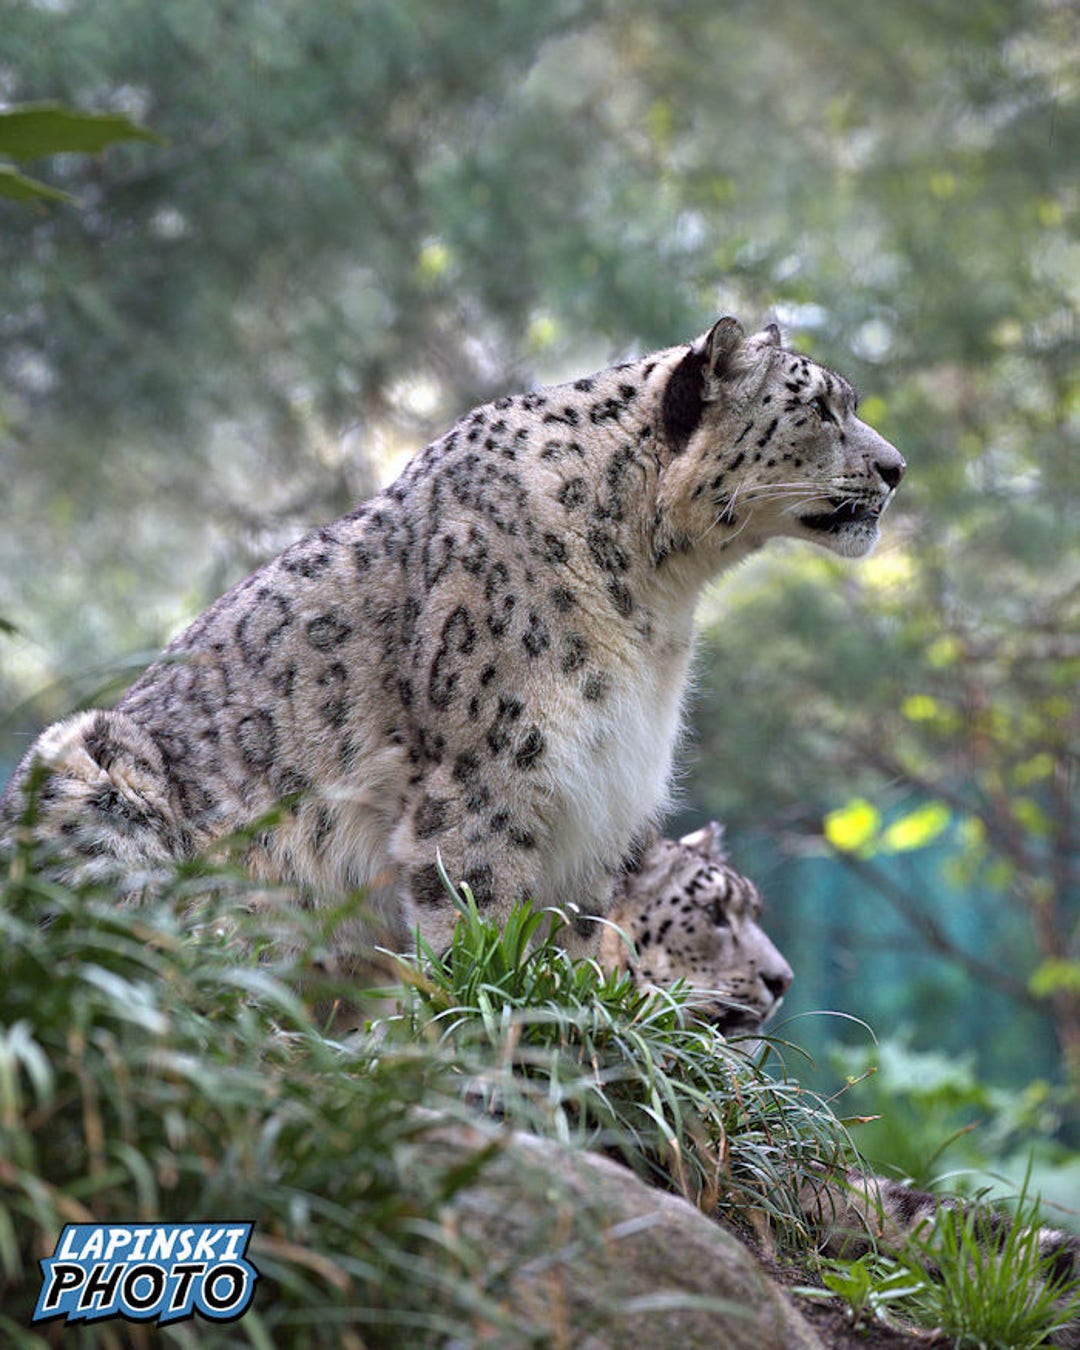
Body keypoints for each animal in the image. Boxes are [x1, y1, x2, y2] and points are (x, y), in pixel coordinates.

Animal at [1, 316, 905, 975]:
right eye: (823, 407)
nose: (897, 468)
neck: (657, 600)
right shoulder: (488, 775)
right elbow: (476, 907)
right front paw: (488, 1005)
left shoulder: (606, 783)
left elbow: (579, 923)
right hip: (81, 767)